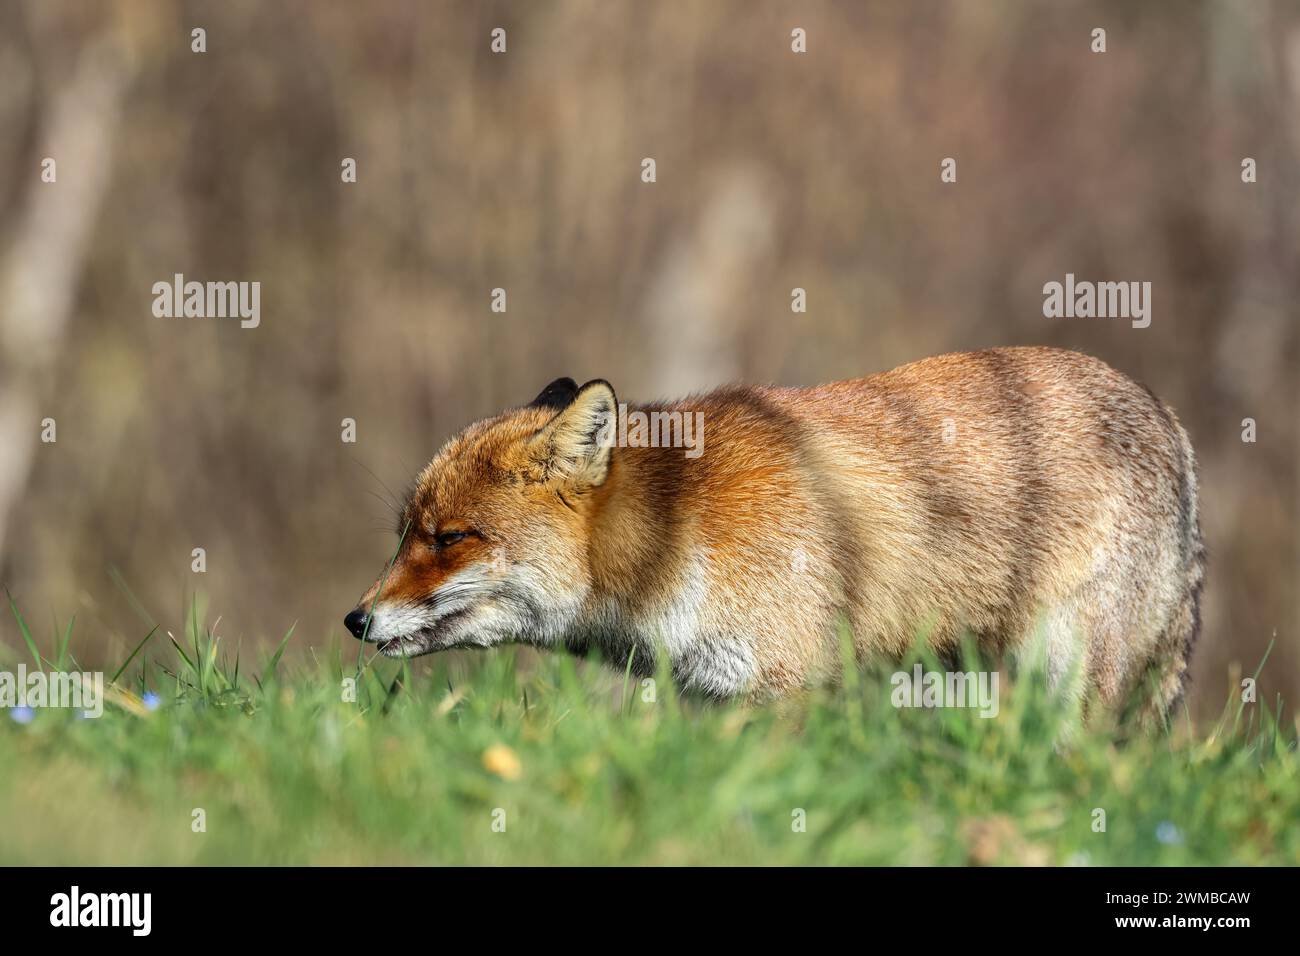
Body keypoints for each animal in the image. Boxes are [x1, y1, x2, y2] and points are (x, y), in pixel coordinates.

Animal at [345, 346, 1204, 722]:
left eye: (450, 537)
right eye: (405, 533)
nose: (355, 619)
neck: (679, 536)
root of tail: (1166, 415)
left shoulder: (787, 684)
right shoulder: (714, 697)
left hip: (1065, 671)